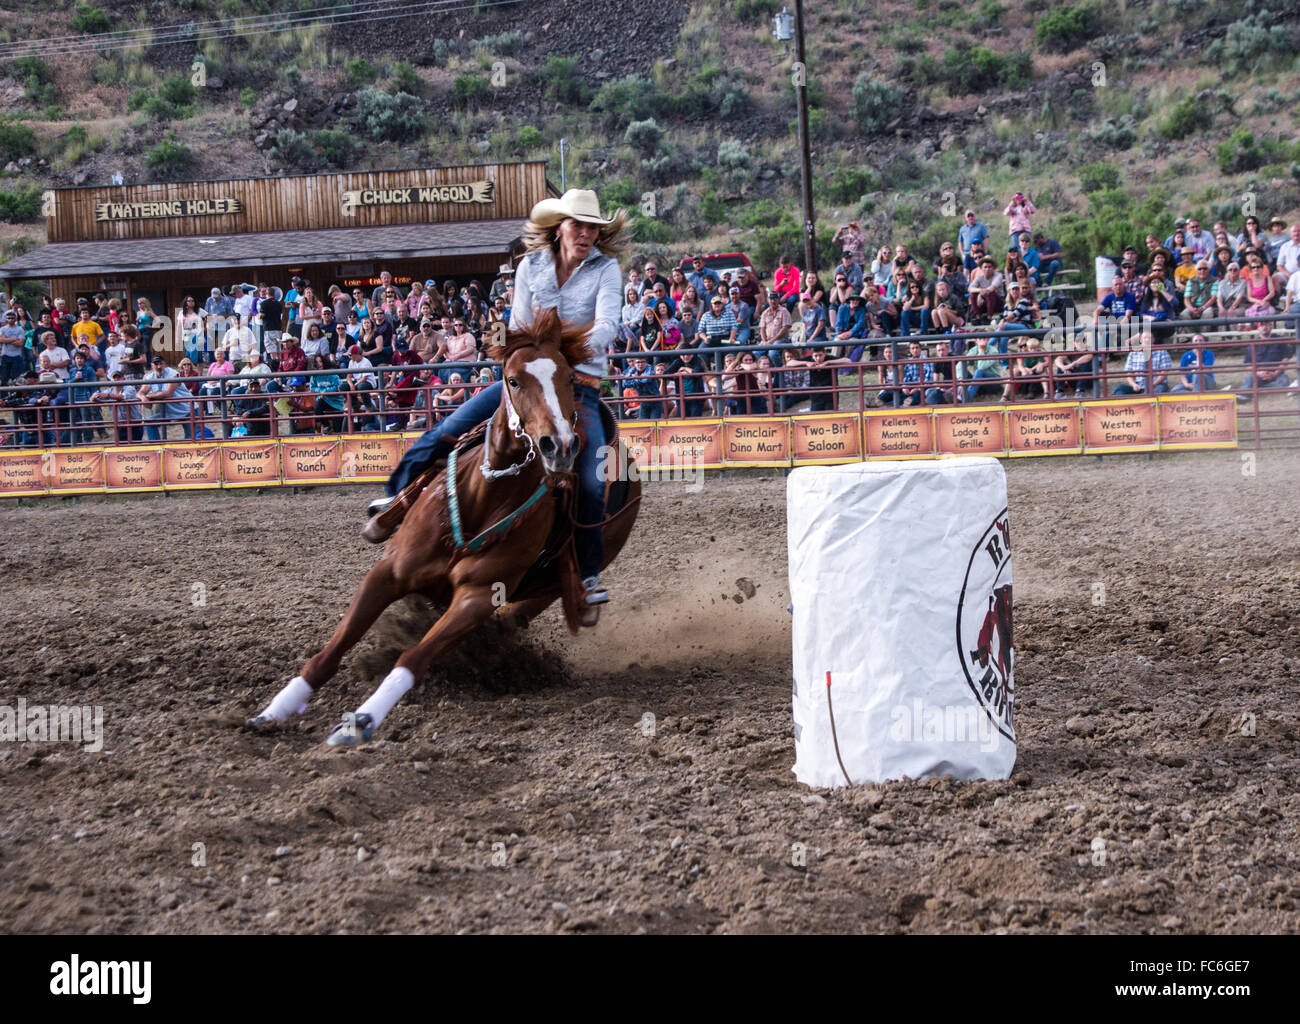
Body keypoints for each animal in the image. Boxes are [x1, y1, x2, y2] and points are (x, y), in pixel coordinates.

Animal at [247, 307, 641, 746]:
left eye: (569, 379)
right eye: (513, 379)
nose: (560, 446)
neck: (485, 497)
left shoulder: (478, 597)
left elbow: (413, 657)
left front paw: (360, 721)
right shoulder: (387, 573)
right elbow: (332, 649)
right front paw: (275, 709)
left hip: (551, 585)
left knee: (516, 615)